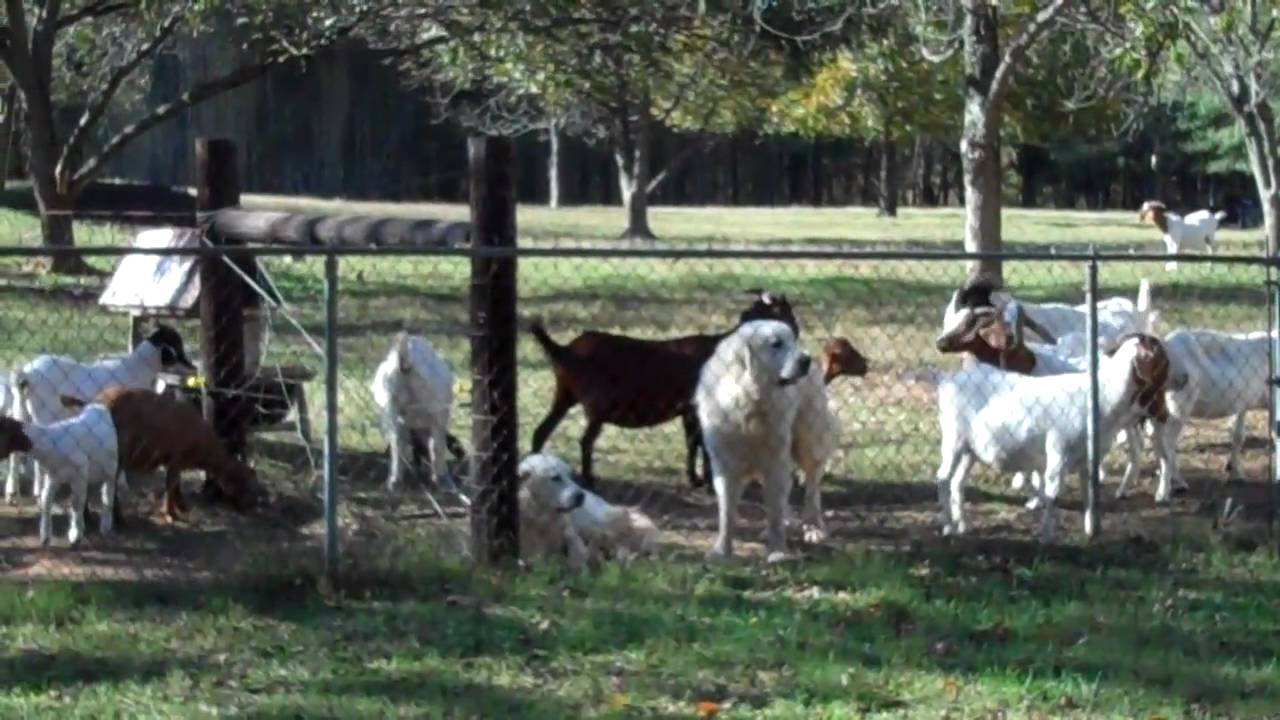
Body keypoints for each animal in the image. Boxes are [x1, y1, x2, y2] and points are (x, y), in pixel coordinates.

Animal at [0, 404, 118, 546]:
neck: (51, 443)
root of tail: (99, 406)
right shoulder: (53, 476)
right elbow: (46, 500)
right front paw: (45, 537)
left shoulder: (79, 474)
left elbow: (76, 503)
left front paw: (75, 535)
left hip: (111, 467)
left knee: (108, 492)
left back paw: (106, 526)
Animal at [6, 324, 194, 505]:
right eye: (177, 342)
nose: (191, 367)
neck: (138, 367)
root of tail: (27, 374)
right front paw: (122, 484)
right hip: (44, 413)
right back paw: (38, 491)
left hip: (20, 409)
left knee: (16, 452)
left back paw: (12, 493)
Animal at [60, 386, 261, 522]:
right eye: (247, 482)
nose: (251, 505)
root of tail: (93, 403)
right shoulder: (176, 458)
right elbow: (170, 486)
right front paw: (170, 513)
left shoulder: (172, 462)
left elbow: (176, 484)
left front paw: (182, 507)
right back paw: (117, 518)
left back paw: (89, 516)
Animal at [528, 289, 799, 490]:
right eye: (782, 312)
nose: (796, 331)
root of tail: (564, 350)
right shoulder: (697, 407)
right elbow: (700, 443)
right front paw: (706, 481)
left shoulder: (689, 410)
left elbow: (693, 442)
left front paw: (696, 479)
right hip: (597, 405)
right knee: (585, 440)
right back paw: (587, 479)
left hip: (564, 395)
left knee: (541, 431)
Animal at [936, 333, 1173, 541]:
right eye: (1162, 361)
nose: (1164, 414)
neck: (1104, 397)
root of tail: (948, 380)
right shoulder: (1058, 453)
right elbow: (1053, 494)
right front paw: (1047, 536)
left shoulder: (1088, 459)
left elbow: (1088, 494)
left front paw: (1090, 531)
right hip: (953, 440)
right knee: (943, 478)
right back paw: (947, 527)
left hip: (970, 450)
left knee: (957, 482)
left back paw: (962, 525)